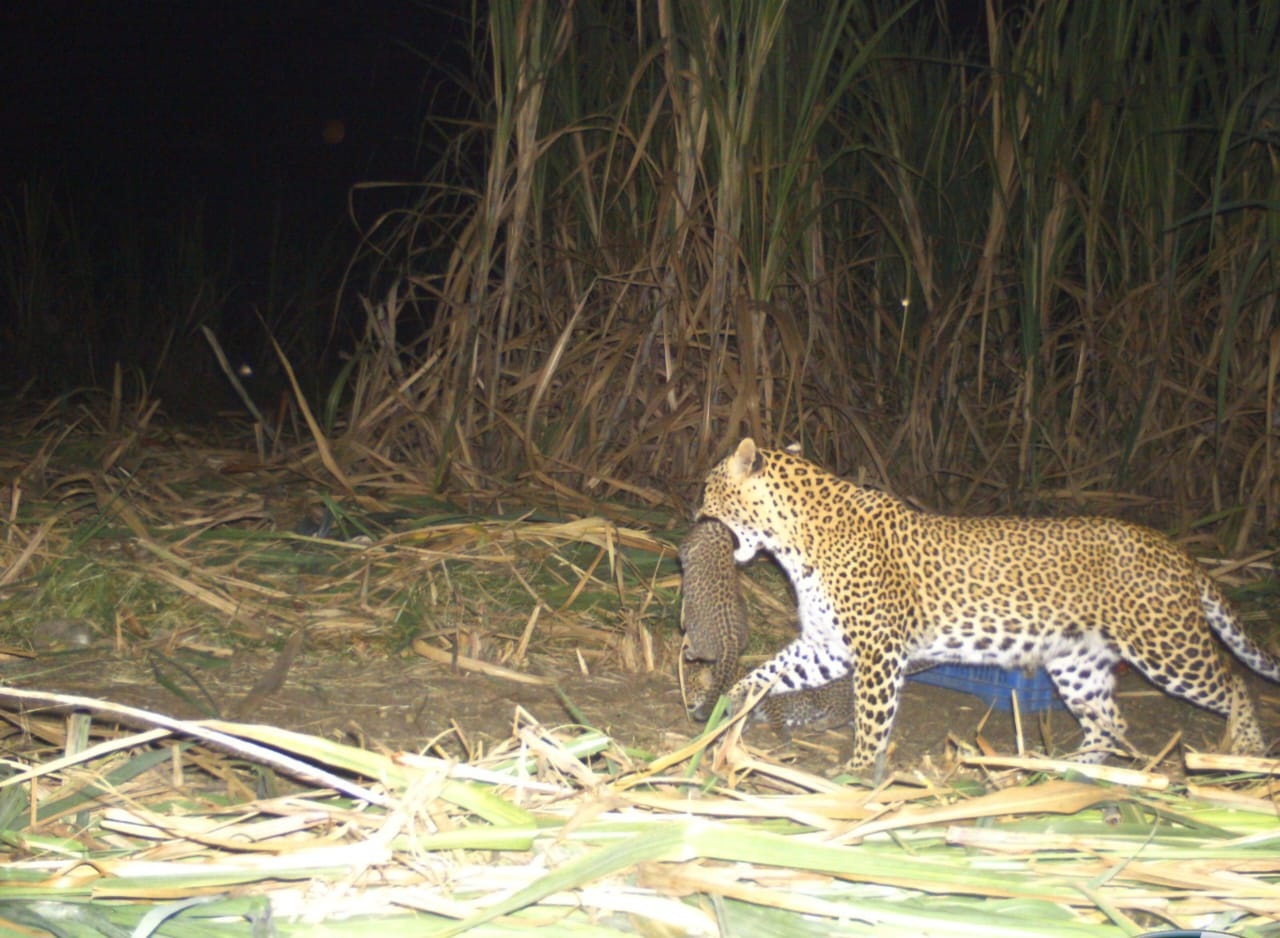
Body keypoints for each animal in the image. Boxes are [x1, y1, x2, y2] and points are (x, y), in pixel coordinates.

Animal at [697, 437, 1280, 780]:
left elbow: (871, 718)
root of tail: (1179, 552)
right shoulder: (829, 646)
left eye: (708, 488)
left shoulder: (878, 652)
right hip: (1078, 662)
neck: (794, 540)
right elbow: (770, 670)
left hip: (1167, 647)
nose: (695, 510)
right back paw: (1065, 772)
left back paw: (1245, 755)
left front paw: (856, 773)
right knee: (1110, 721)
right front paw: (731, 703)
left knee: (1234, 684)